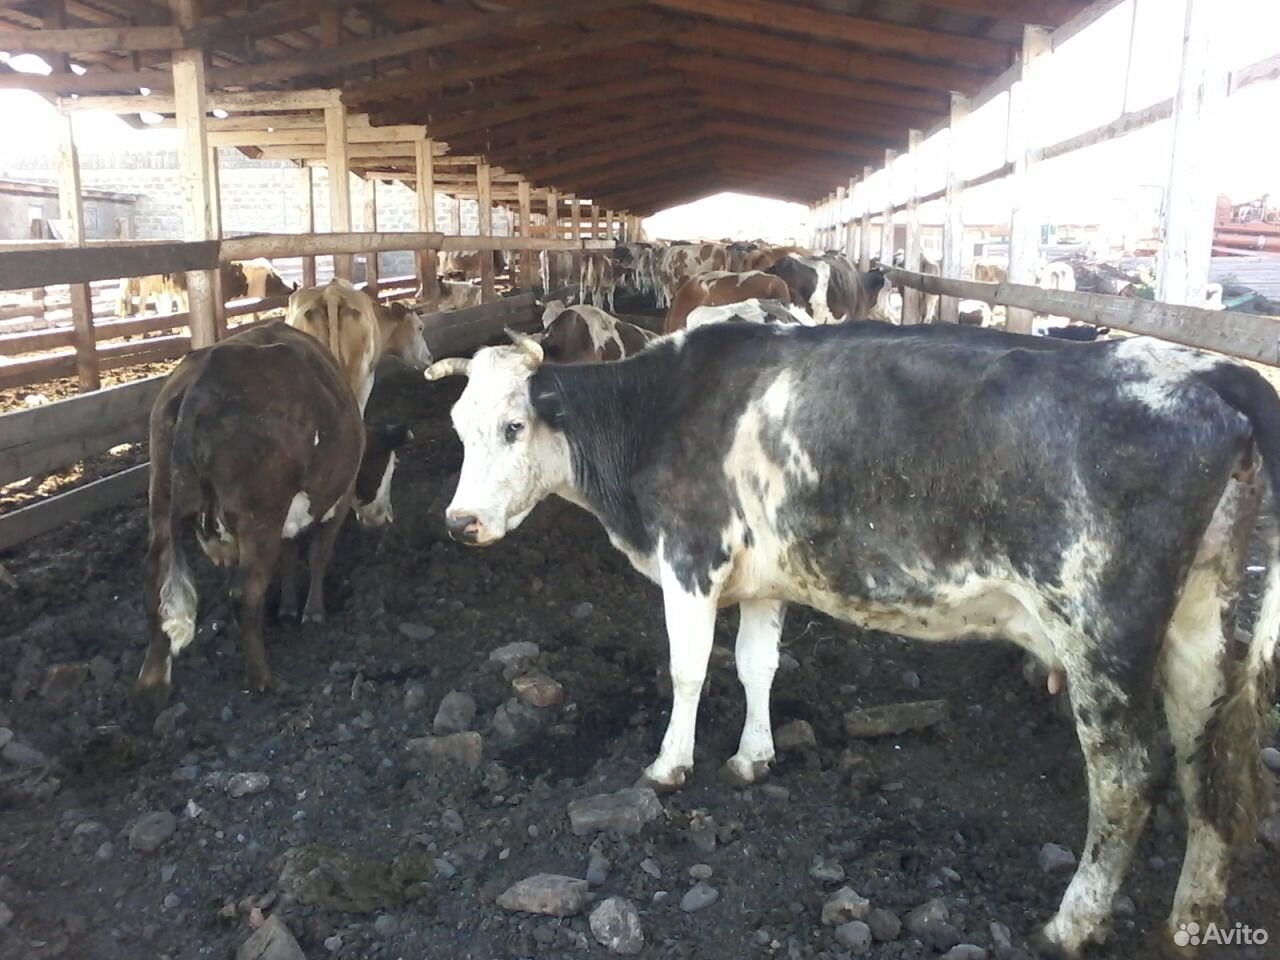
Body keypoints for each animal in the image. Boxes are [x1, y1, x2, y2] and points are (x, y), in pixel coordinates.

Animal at [133, 321, 411, 704]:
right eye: (390, 466)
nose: (386, 517)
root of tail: (199, 385)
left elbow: (290, 554)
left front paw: (288, 607)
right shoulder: (334, 503)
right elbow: (317, 555)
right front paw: (312, 613)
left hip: (161, 500)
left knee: (154, 581)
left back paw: (153, 680)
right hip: (259, 516)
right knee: (246, 591)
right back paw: (263, 679)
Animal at [427, 320, 1280, 959]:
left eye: (513, 426)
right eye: (458, 429)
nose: (459, 524)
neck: (656, 416)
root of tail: (1210, 373)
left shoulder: (692, 558)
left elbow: (689, 670)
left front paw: (669, 767)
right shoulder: (764, 577)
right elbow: (756, 666)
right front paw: (753, 757)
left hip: (1101, 629)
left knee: (1129, 776)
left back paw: (1070, 924)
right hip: (1207, 634)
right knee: (1215, 778)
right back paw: (1189, 926)